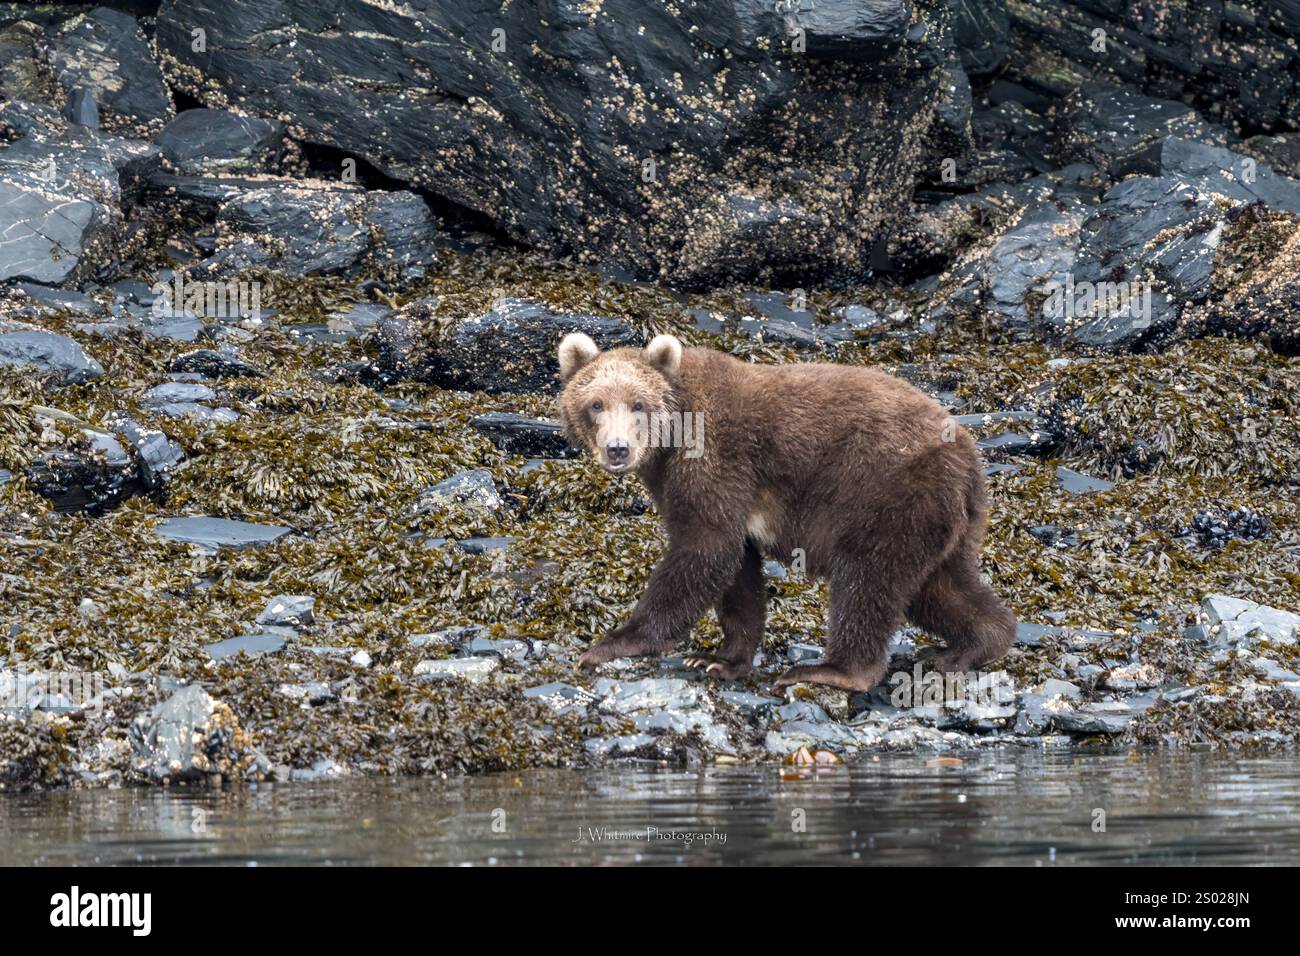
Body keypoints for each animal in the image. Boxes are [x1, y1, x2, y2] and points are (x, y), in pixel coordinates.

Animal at [556, 332, 1016, 691]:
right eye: (596, 404)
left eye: (638, 404)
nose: (618, 449)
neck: (671, 442)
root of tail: (969, 456)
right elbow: (737, 570)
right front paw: (721, 659)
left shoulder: (714, 459)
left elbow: (704, 550)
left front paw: (612, 643)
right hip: (946, 518)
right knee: (941, 585)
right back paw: (972, 646)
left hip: (888, 492)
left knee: (868, 579)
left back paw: (835, 670)